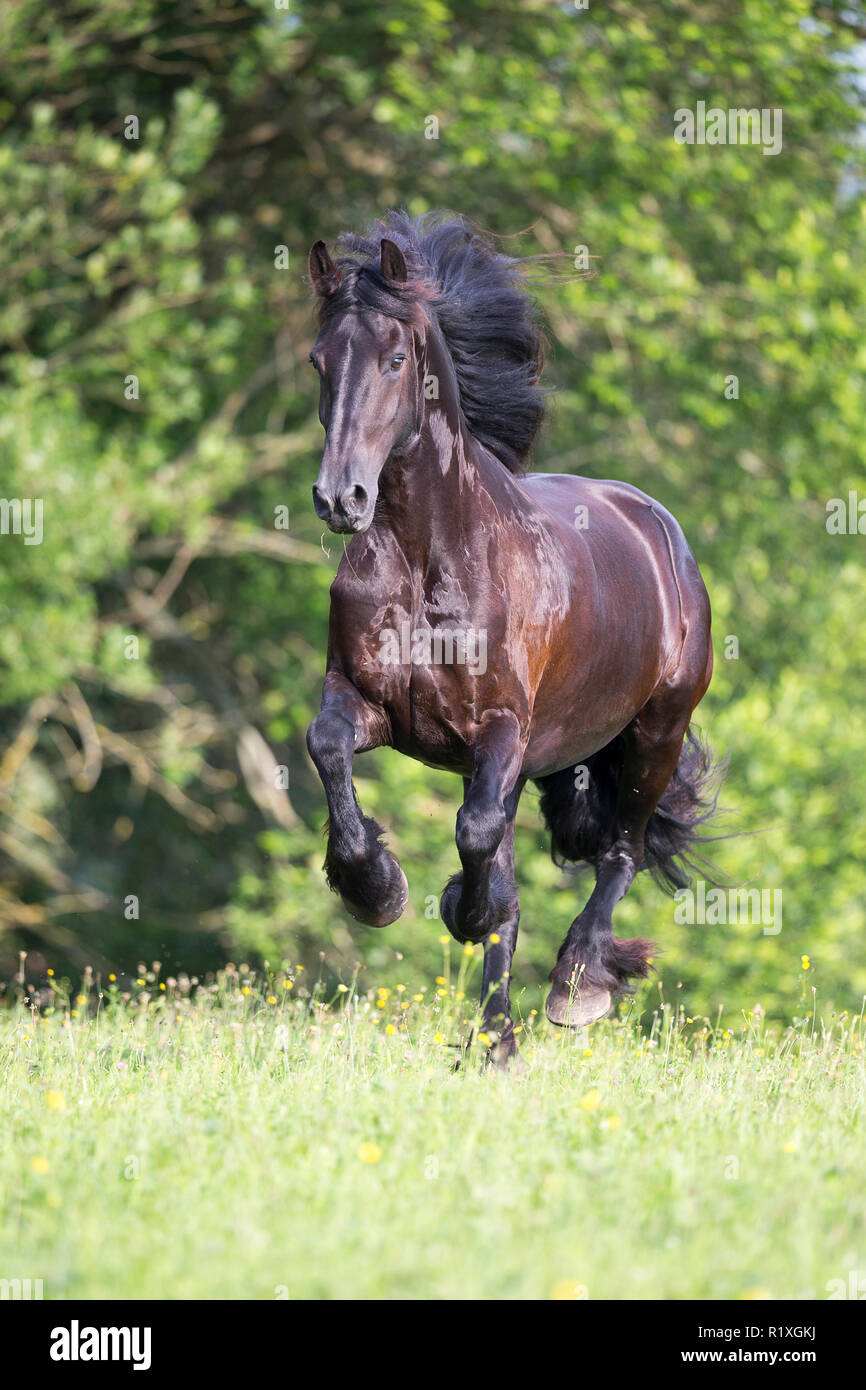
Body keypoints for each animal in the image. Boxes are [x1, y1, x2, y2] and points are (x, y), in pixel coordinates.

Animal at [305, 211, 719, 1065]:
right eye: (318, 359)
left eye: (396, 357)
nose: (340, 498)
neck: (427, 560)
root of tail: (658, 528)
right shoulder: (366, 705)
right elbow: (326, 748)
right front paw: (376, 888)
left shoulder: (500, 729)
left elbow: (479, 837)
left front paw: (460, 907)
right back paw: (495, 1042)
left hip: (655, 731)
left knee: (620, 851)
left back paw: (575, 987)